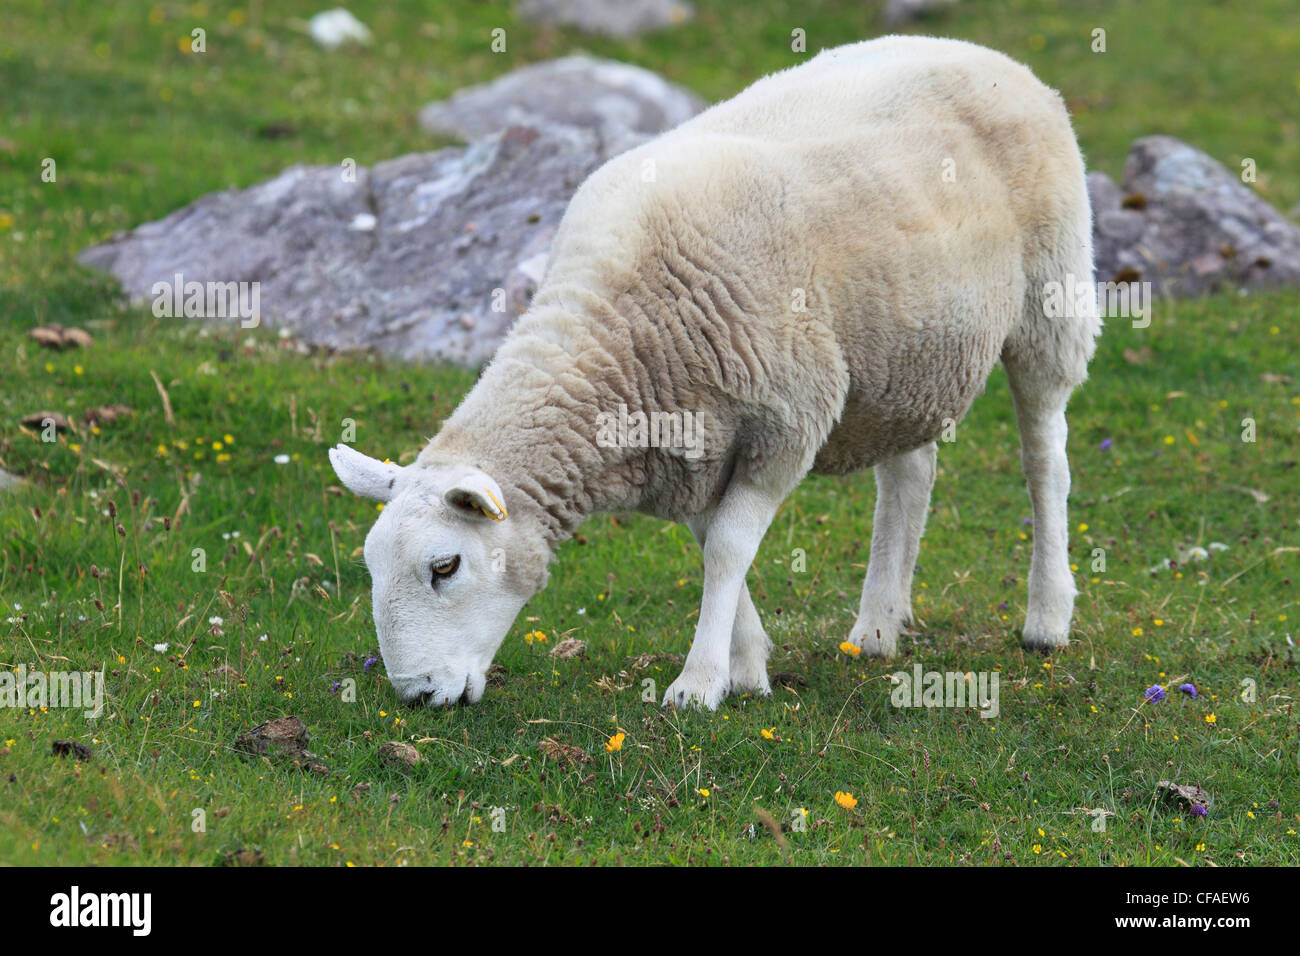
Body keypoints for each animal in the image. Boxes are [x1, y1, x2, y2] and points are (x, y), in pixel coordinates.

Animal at [330, 35, 1102, 710]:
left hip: (1049, 303)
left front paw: (698, 684)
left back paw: (1047, 616)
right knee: (909, 475)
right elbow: (714, 547)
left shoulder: (784, 421)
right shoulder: (688, 439)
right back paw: (879, 627)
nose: (417, 695)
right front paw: (748, 666)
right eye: (371, 567)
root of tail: (986, 55)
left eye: (445, 567)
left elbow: (729, 548)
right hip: (903, 356)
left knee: (1046, 459)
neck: (616, 339)